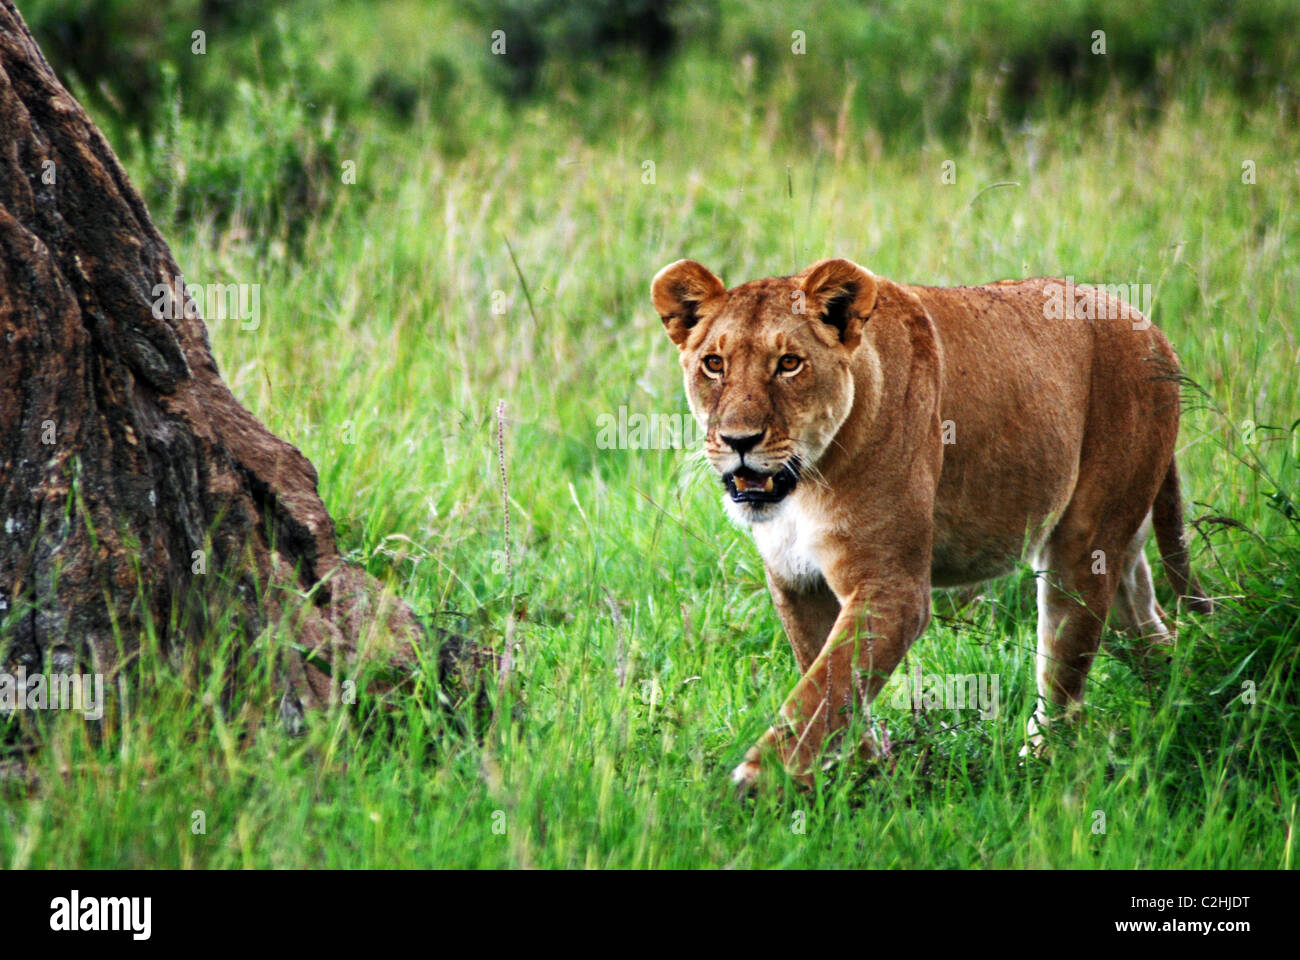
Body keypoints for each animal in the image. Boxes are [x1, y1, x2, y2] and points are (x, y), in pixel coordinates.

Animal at [650, 257, 1213, 791]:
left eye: (789, 364)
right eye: (714, 364)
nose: (738, 440)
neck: (804, 486)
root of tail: (1151, 326)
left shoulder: (891, 588)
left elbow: (825, 688)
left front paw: (757, 782)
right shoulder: (795, 582)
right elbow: (829, 682)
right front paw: (860, 773)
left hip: (1081, 549)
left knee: (1064, 679)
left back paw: (1041, 762)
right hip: (1118, 556)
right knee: (1147, 631)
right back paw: (1177, 704)